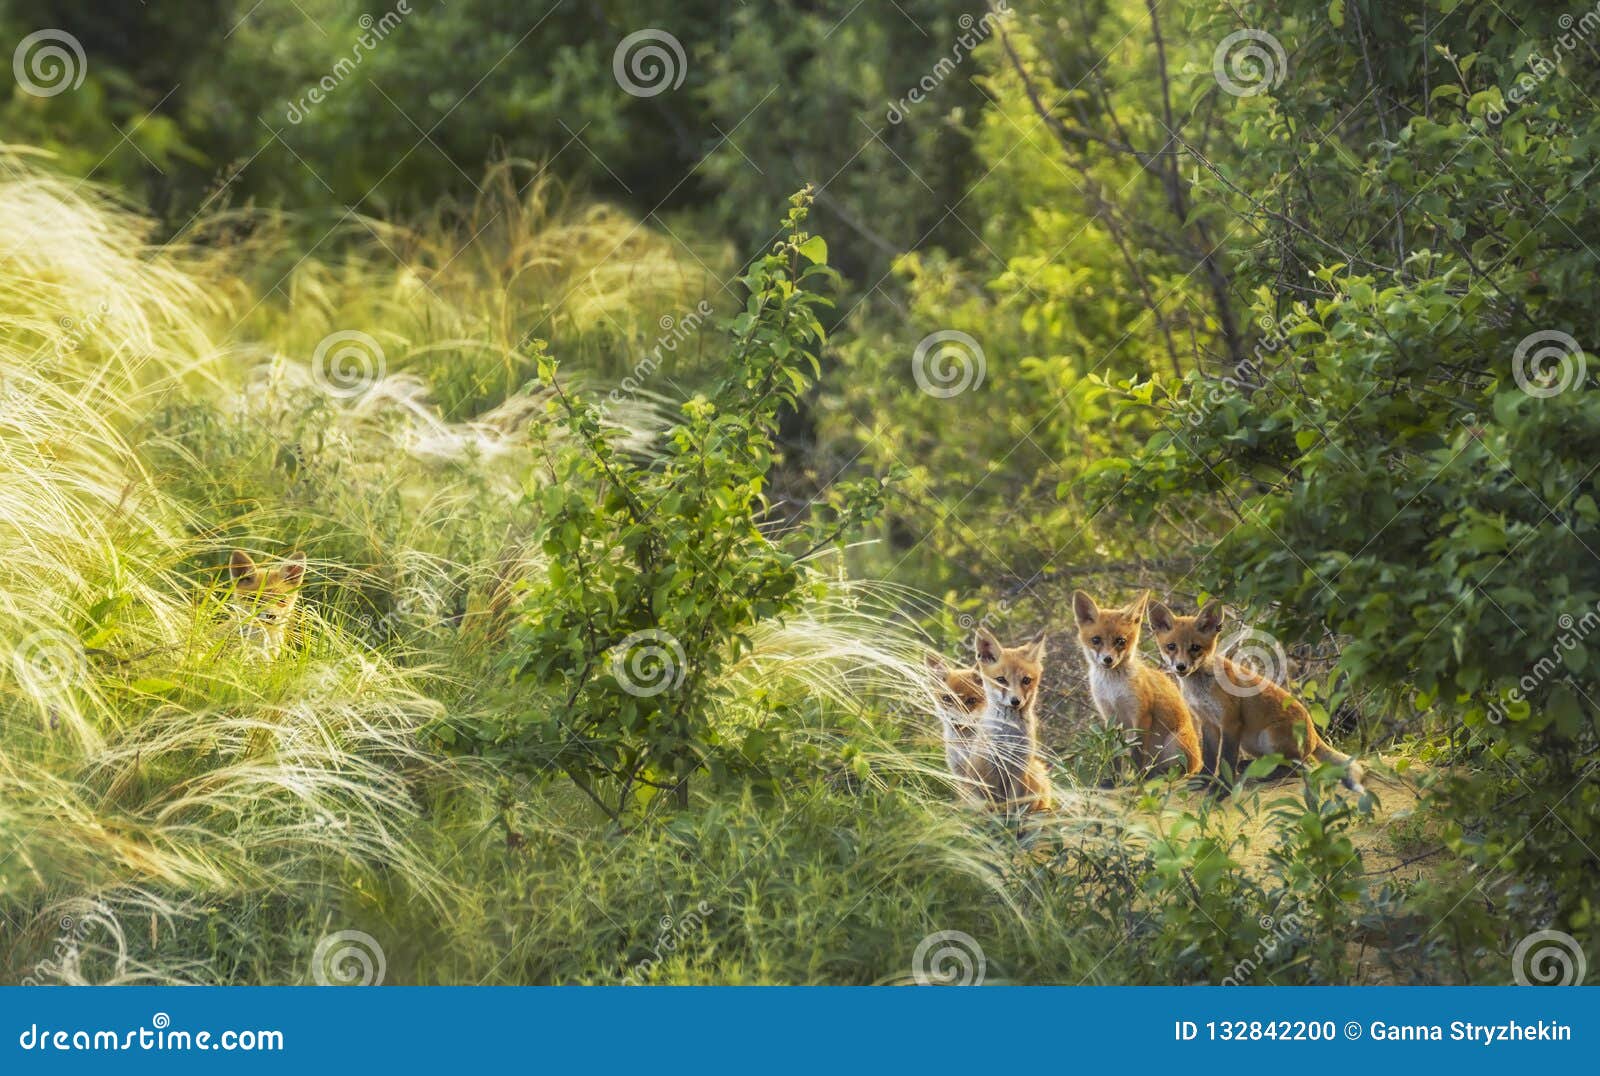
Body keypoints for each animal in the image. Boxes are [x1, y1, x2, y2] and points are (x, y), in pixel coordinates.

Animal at [963, 628, 1055, 812]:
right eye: (1001, 680)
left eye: (1026, 680)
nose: (1015, 701)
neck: (1008, 735)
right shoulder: (990, 770)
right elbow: (996, 807)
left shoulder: (1019, 770)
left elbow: (1013, 807)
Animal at [1072, 590, 1202, 779]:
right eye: (1096, 640)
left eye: (1120, 641)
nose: (1108, 660)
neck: (1113, 689)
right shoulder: (1110, 717)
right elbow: (1114, 756)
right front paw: (1115, 779)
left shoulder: (1141, 715)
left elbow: (1136, 755)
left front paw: (1135, 780)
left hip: (1174, 743)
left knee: (1175, 772)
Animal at [1146, 601, 1366, 794]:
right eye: (1171, 646)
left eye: (1195, 648)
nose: (1180, 667)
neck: (1201, 689)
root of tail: (1314, 732)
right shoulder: (1208, 722)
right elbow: (1209, 758)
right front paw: (1203, 781)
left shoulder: (1230, 722)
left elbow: (1226, 759)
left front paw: (1221, 787)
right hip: (1250, 742)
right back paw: (1252, 767)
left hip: (1270, 737)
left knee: (1302, 768)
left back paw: (1263, 774)